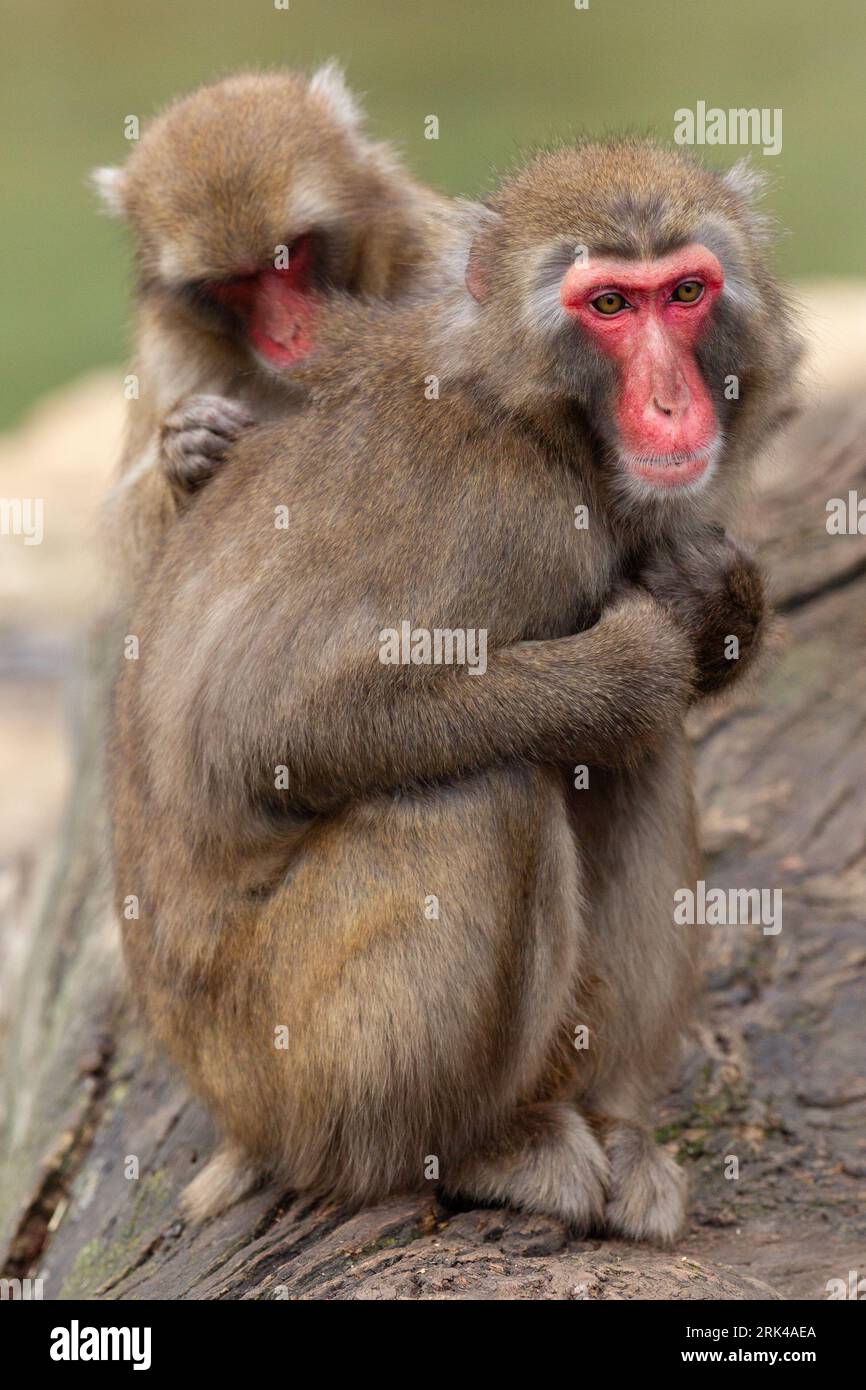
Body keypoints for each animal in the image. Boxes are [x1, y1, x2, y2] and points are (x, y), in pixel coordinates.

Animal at [93, 65, 453, 584]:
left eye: (290, 253)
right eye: (233, 282)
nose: (288, 333)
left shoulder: (426, 251)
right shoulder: (172, 342)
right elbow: (130, 565)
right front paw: (184, 449)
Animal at [111, 139, 800, 1243]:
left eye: (686, 292)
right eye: (610, 303)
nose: (669, 406)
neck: (541, 423)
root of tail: (227, 1113)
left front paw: (713, 601)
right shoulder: (496, 516)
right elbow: (266, 721)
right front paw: (641, 659)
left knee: (632, 762)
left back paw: (606, 1118)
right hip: (282, 1058)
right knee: (483, 789)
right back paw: (466, 1147)